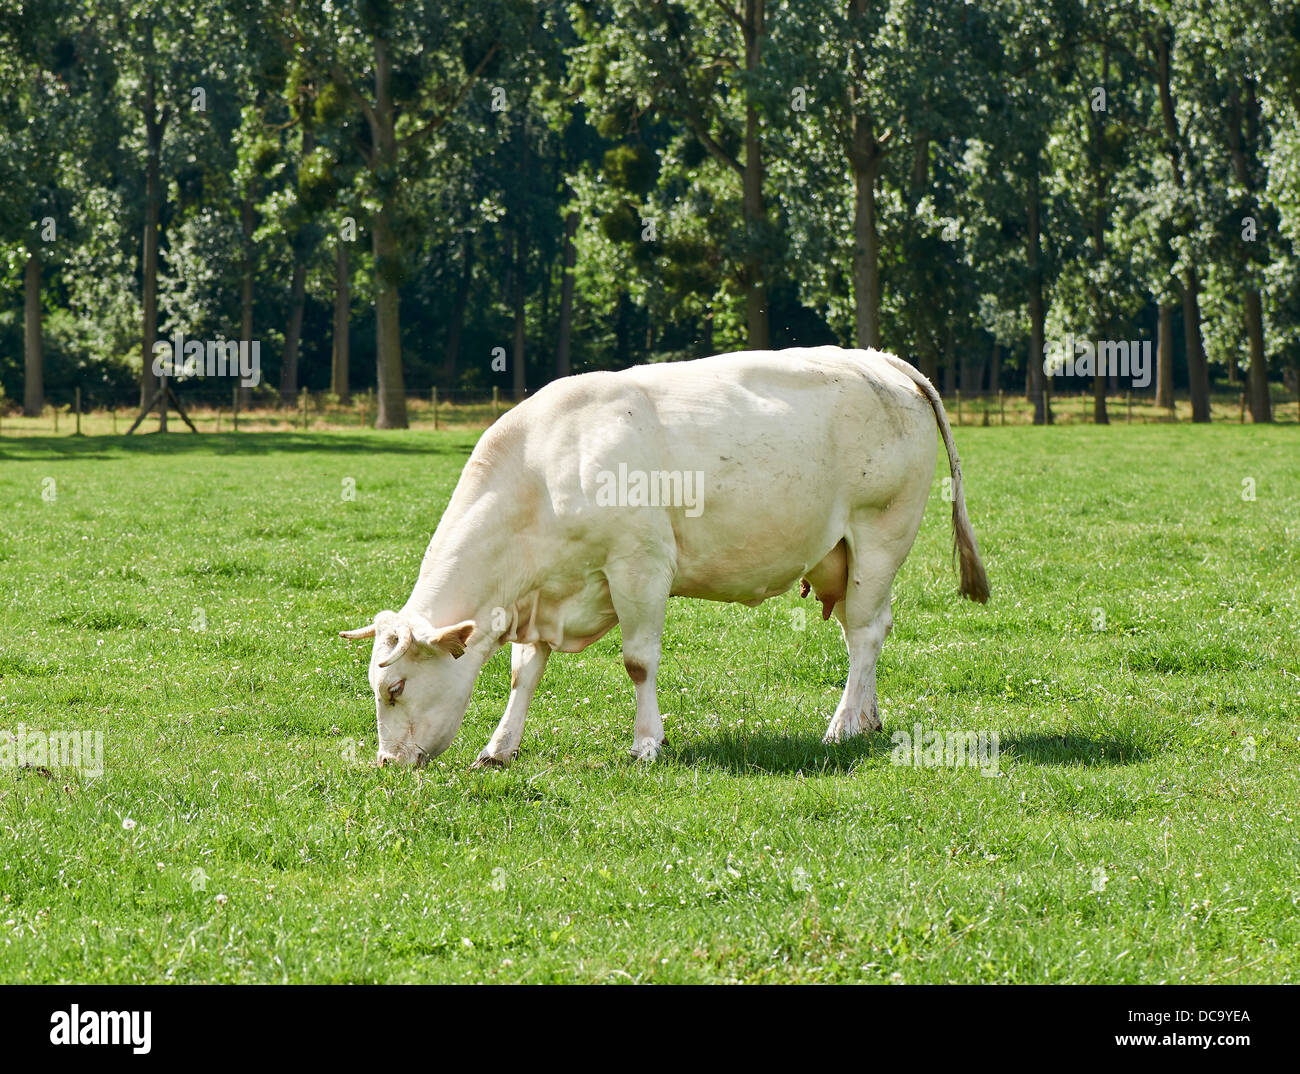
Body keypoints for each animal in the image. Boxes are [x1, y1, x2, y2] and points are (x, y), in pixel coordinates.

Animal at [340, 346, 988, 768]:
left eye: (394, 688)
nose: (387, 763)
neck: (545, 469)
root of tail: (882, 360)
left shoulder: (640, 568)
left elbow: (638, 662)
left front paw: (647, 743)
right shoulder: (545, 590)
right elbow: (526, 671)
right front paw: (499, 748)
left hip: (880, 532)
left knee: (865, 634)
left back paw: (842, 727)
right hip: (849, 554)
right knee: (868, 629)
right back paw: (867, 719)